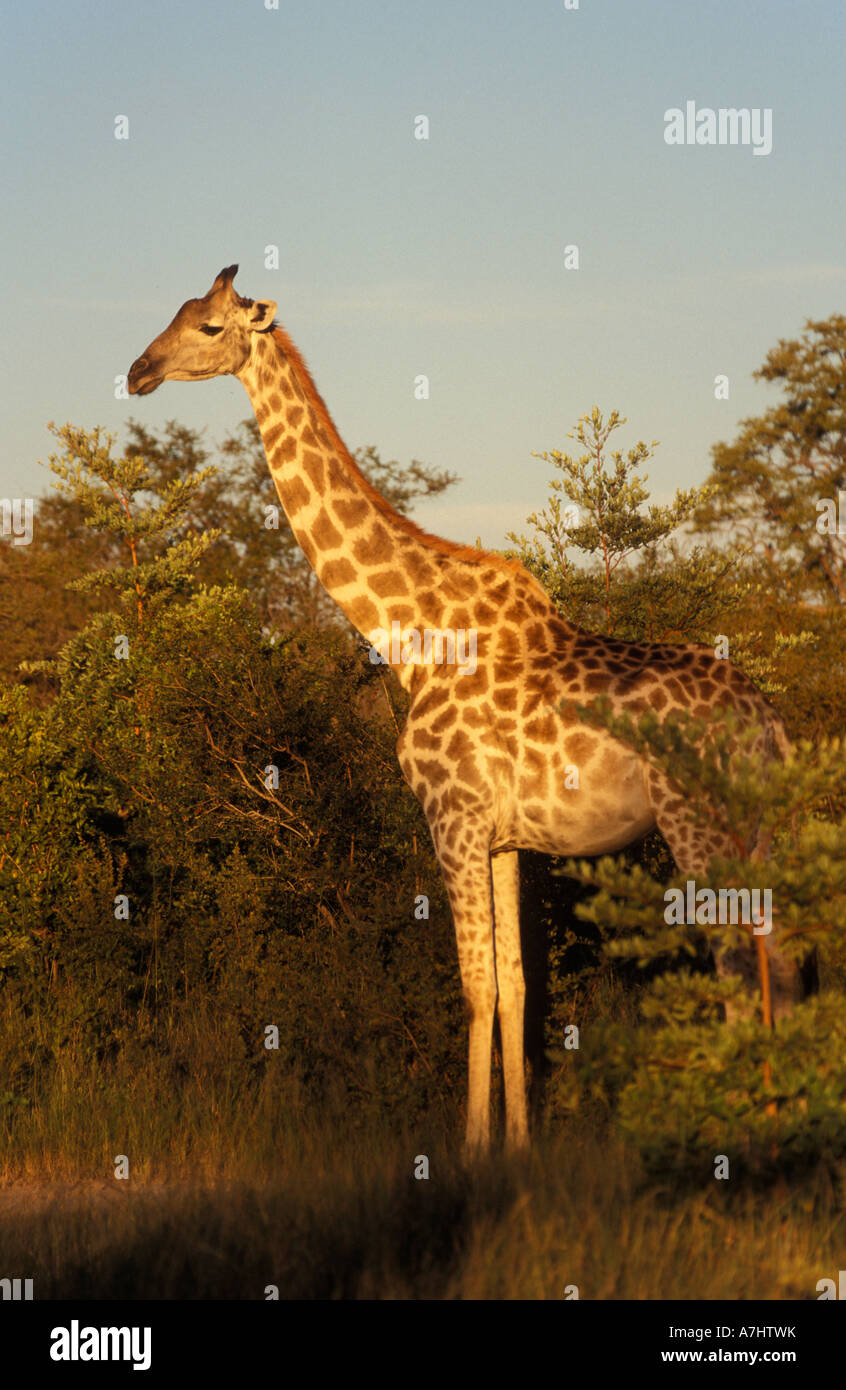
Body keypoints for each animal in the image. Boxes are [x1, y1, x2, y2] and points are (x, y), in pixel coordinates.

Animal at [128, 265, 808, 1151]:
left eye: (209, 327)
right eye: (177, 313)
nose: (137, 371)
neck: (414, 633)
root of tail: (768, 727)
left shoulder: (450, 816)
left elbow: (475, 986)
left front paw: (470, 1153)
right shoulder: (506, 836)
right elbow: (516, 985)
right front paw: (517, 1146)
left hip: (695, 821)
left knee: (733, 958)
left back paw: (743, 1134)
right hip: (753, 826)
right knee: (779, 954)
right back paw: (784, 1121)